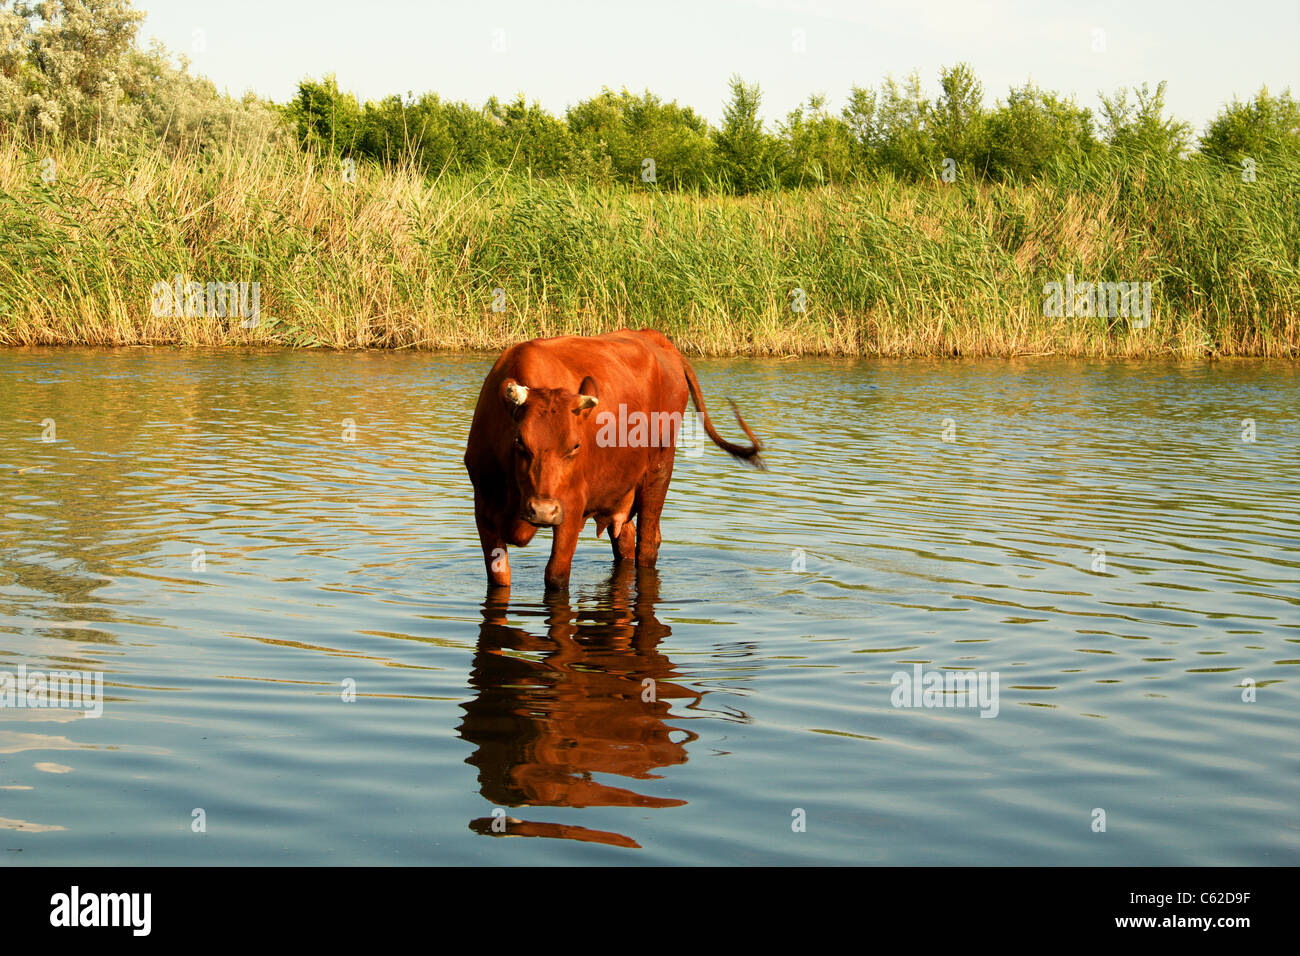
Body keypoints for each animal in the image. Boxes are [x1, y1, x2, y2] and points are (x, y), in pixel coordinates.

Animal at [463, 329, 764, 591]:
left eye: (575, 446)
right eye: (519, 442)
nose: (544, 511)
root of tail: (654, 337)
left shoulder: (572, 504)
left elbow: (556, 576)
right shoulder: (483, 510)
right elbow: (499, 576)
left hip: (659, 469)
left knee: (648, 543)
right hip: (622, 487)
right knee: (625, 542)